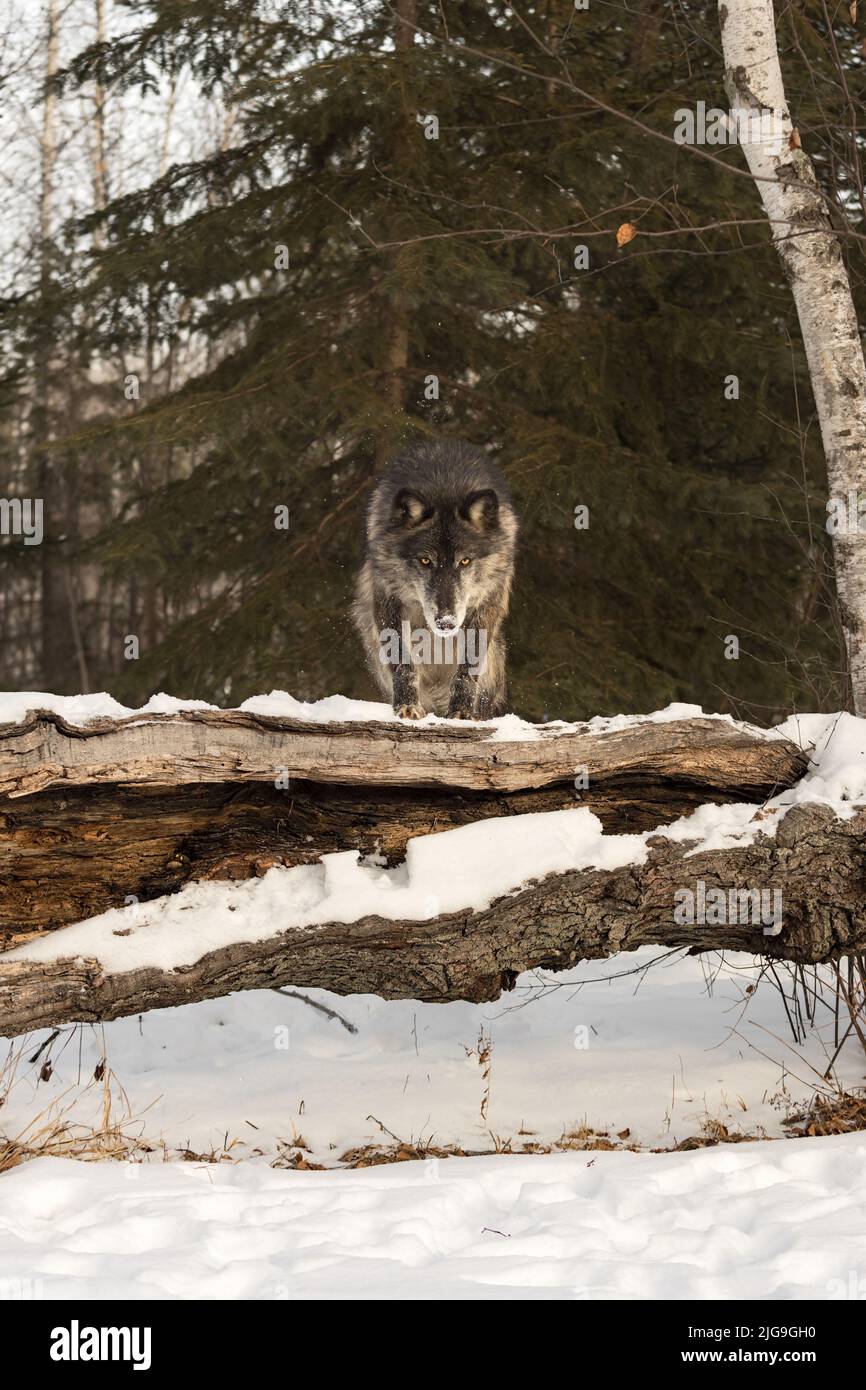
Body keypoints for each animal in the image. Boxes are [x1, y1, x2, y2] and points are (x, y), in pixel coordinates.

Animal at [352, 439, 518, 719]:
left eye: (465, 561)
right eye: (425, 561)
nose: (446, 622)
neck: (445, 486)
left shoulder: (487, 603)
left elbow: (468, 668)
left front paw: (461, 712)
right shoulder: (388, 599)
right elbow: (402, 663)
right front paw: (407, 706)